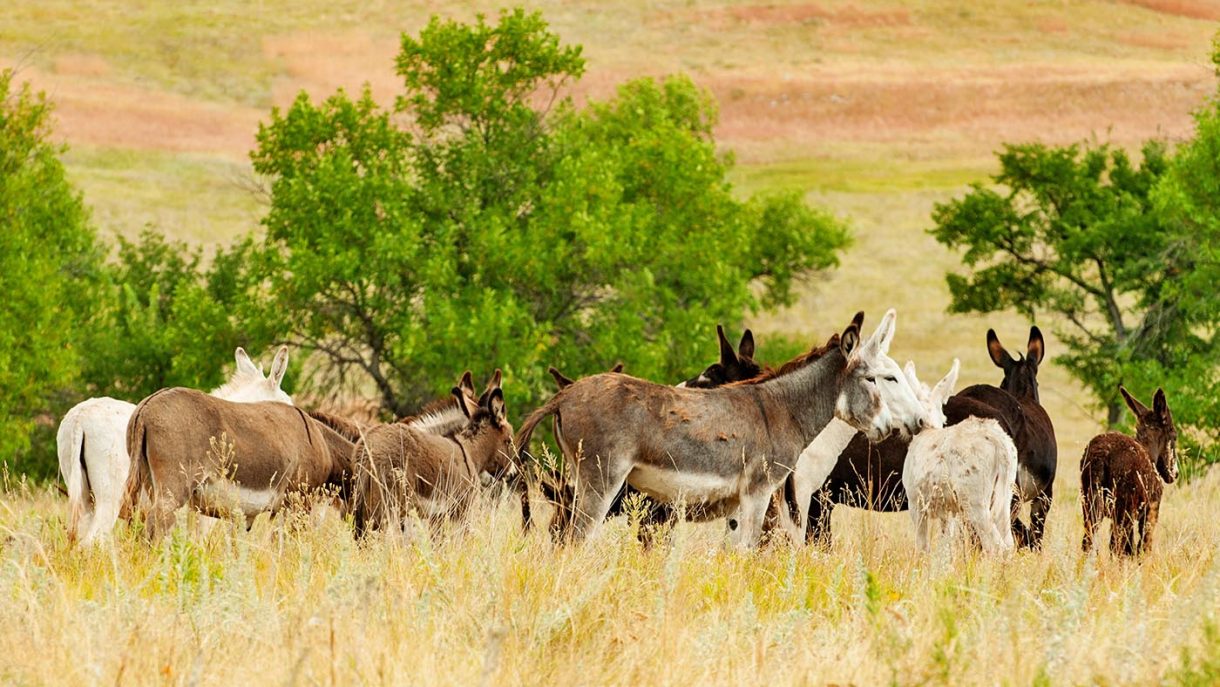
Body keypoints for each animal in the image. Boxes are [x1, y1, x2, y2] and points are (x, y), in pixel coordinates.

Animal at [516, 310, 927, 548]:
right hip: (602, 480)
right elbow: (747, 551)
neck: (784, 410)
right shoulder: (759, 493)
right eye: (876, 379)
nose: (903, 426)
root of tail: (565, 395)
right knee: (576, 539)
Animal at [1080, 386, 1178, 556]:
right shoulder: (1150, 513)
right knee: (1118, 547)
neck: (1151, 453)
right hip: (1122, 510)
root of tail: (1100, 455)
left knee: (1089, 543)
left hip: (1090, 504)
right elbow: (1142, 548)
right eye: (1174, 436)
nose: (1175, 473)